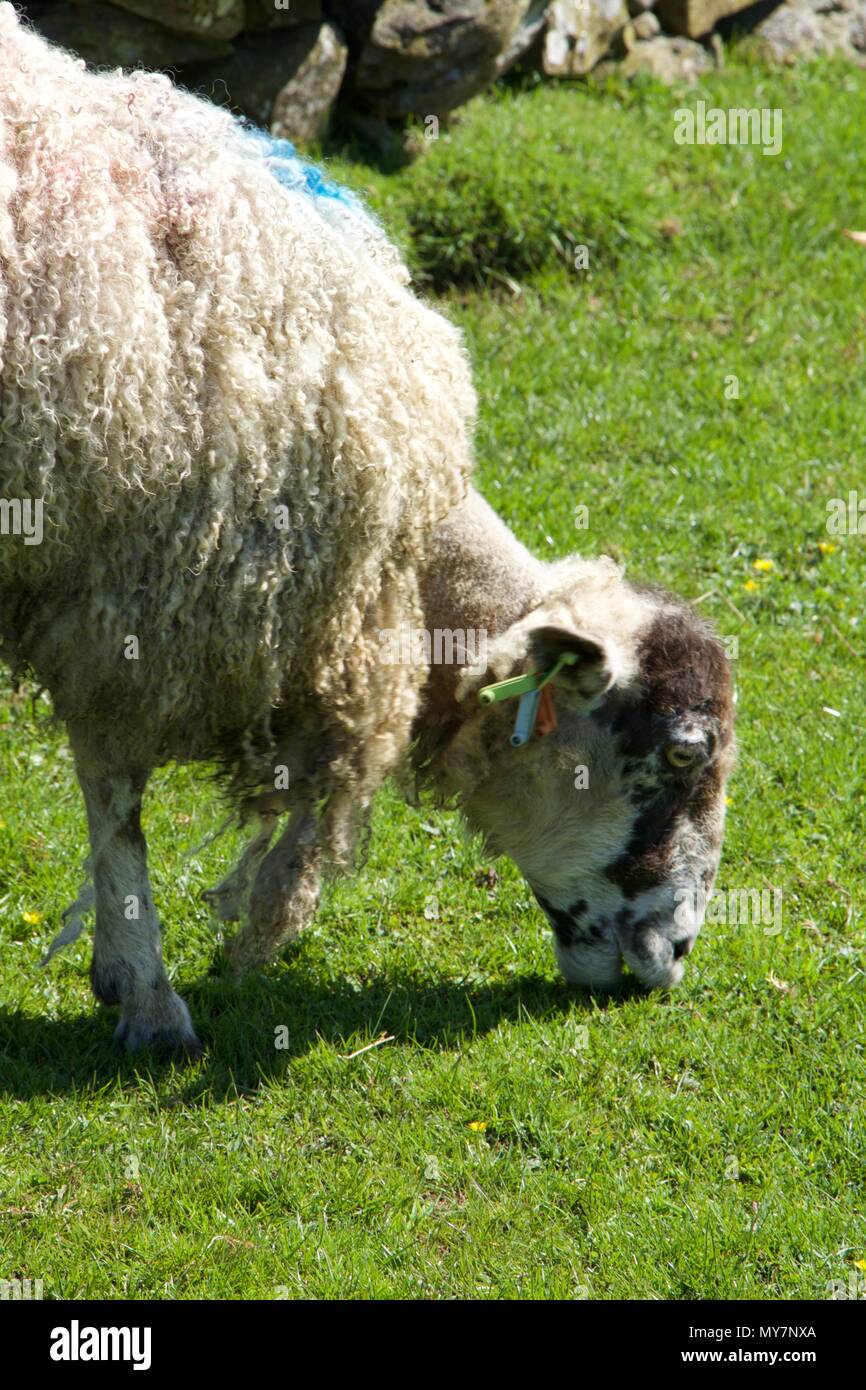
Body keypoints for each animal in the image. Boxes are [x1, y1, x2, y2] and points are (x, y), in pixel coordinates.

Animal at [0, 8, 734, 1054]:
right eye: (680, 753)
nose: (674, 955)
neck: (407, 557)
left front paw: (117, 971)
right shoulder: (131, 604)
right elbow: (116, 797)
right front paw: (147, 994)